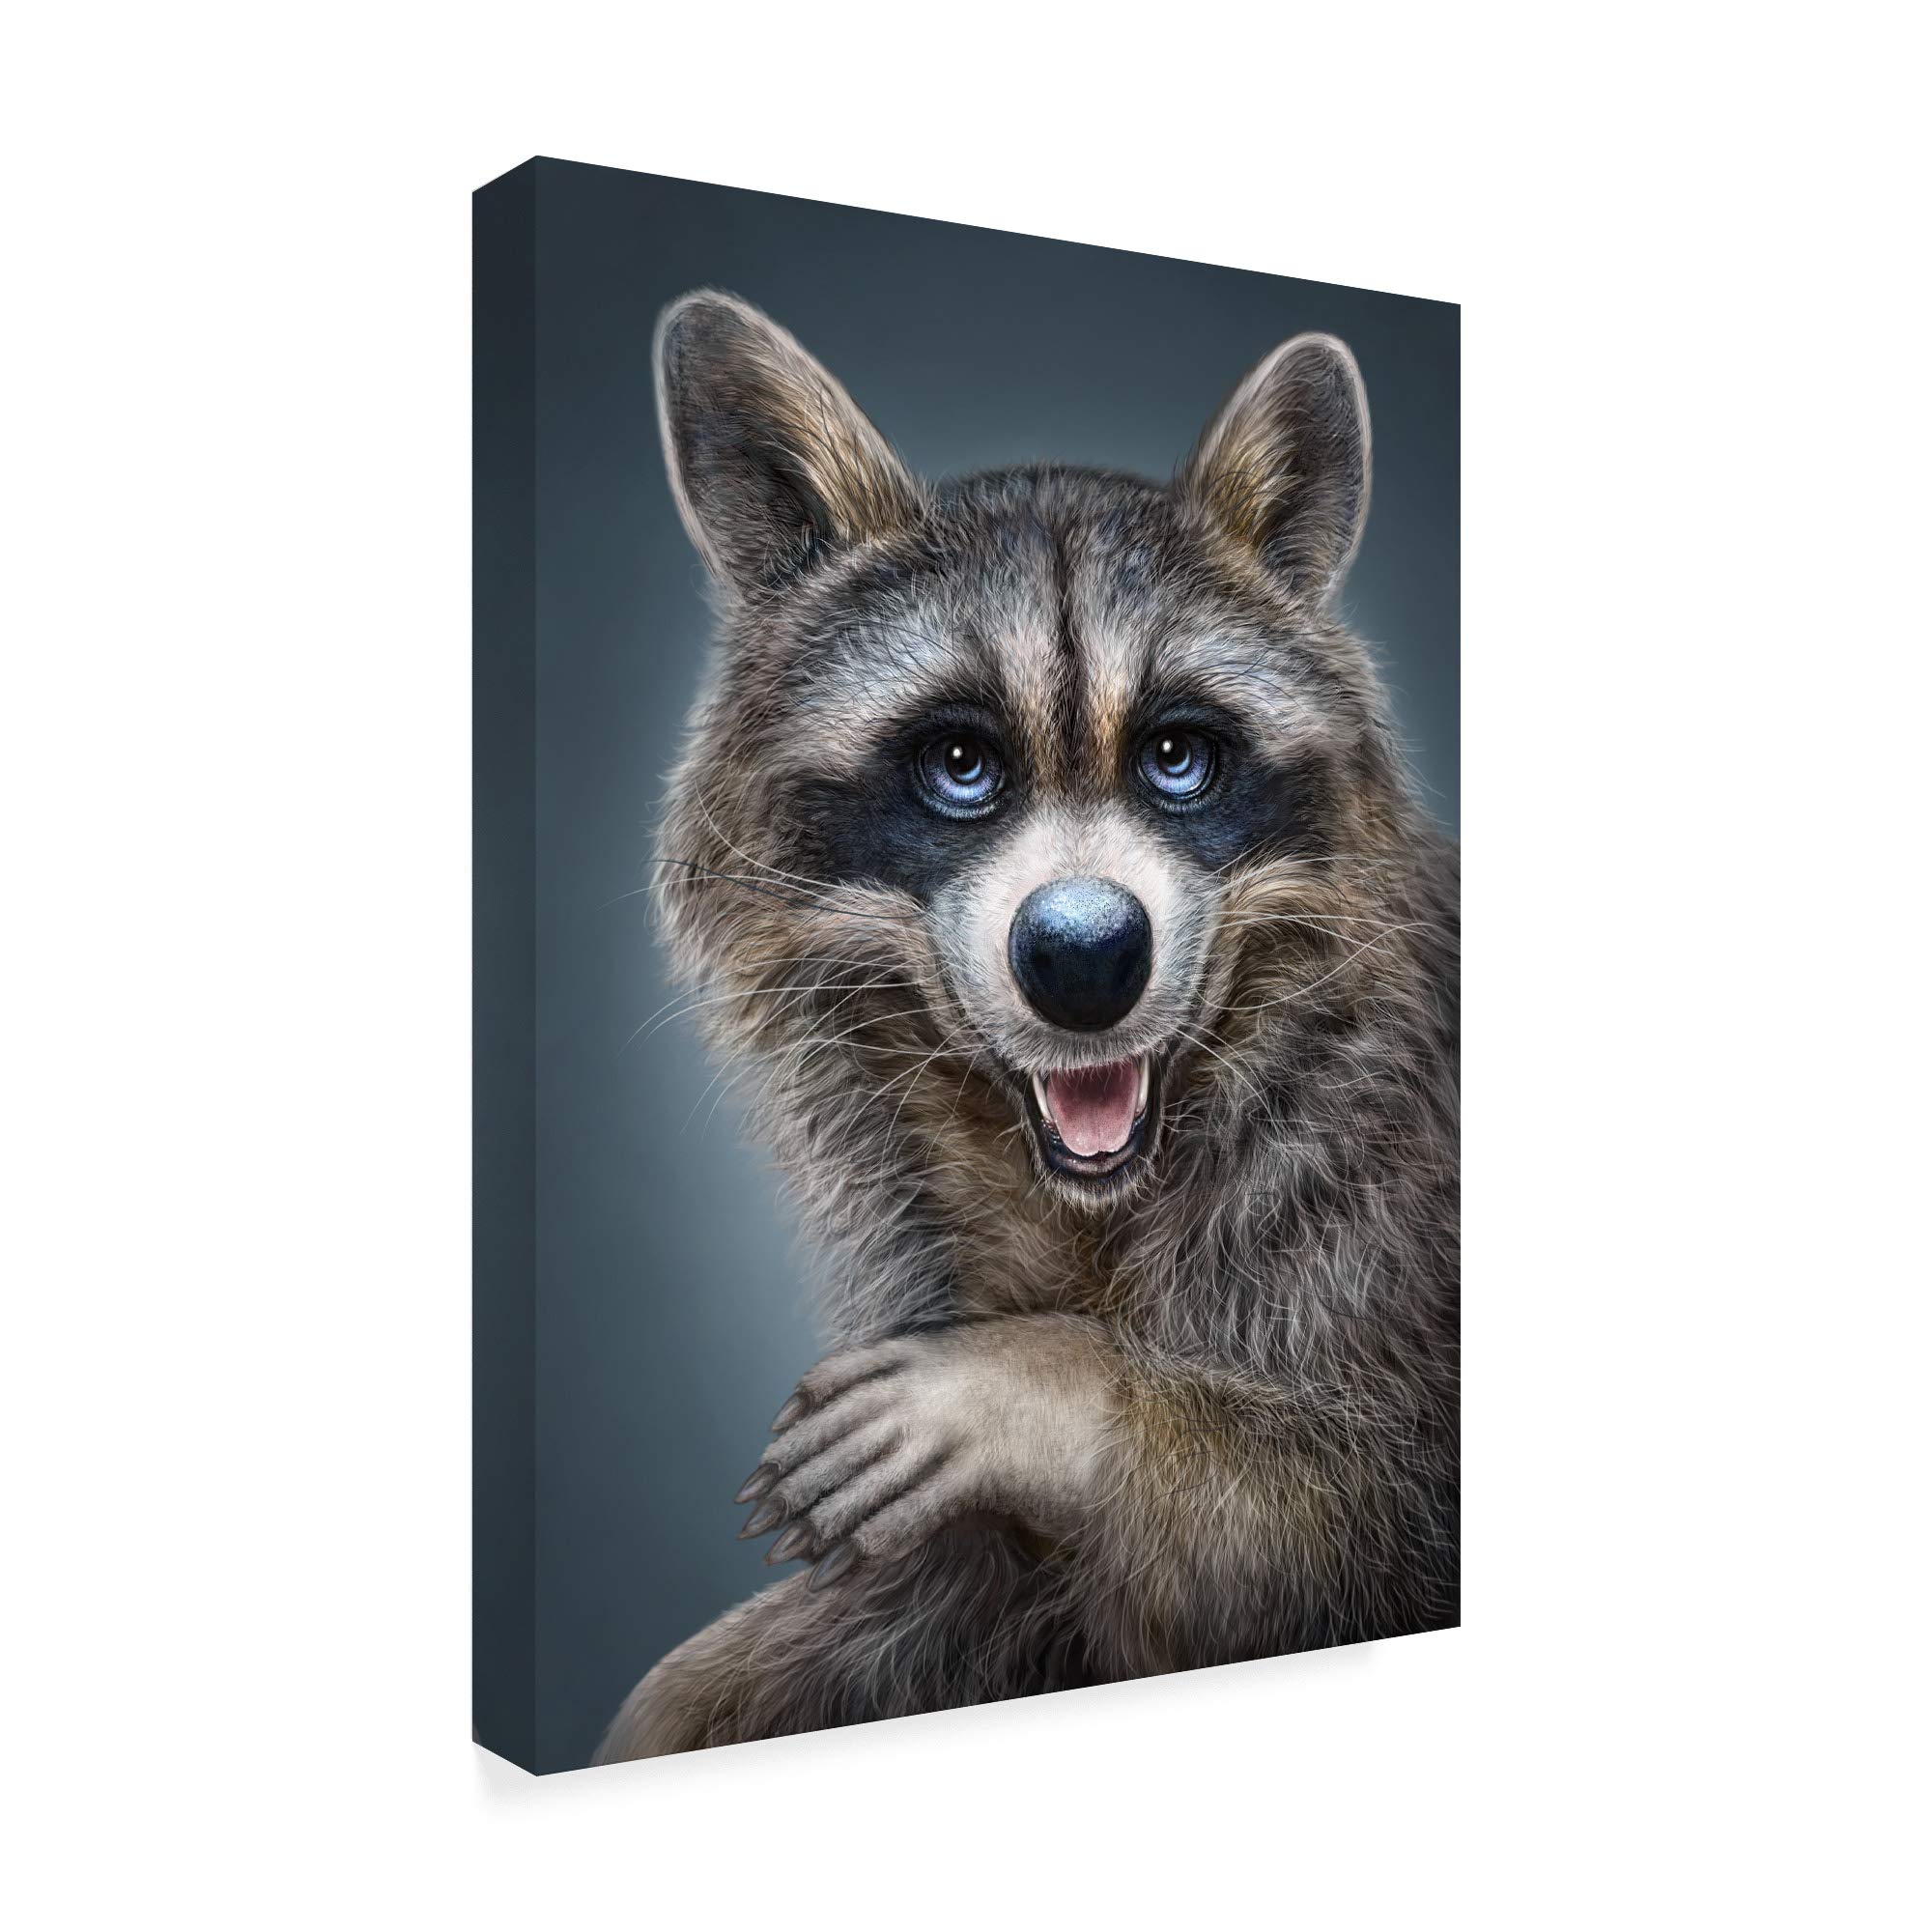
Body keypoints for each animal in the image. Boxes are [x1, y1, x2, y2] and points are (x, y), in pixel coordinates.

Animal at [596, 291, 1458, 1760]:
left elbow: (1338, 1525)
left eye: (1178, 756)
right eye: (958, 763)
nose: (1084, 959)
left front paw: (1048, 1390)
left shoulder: (1382, 1212)